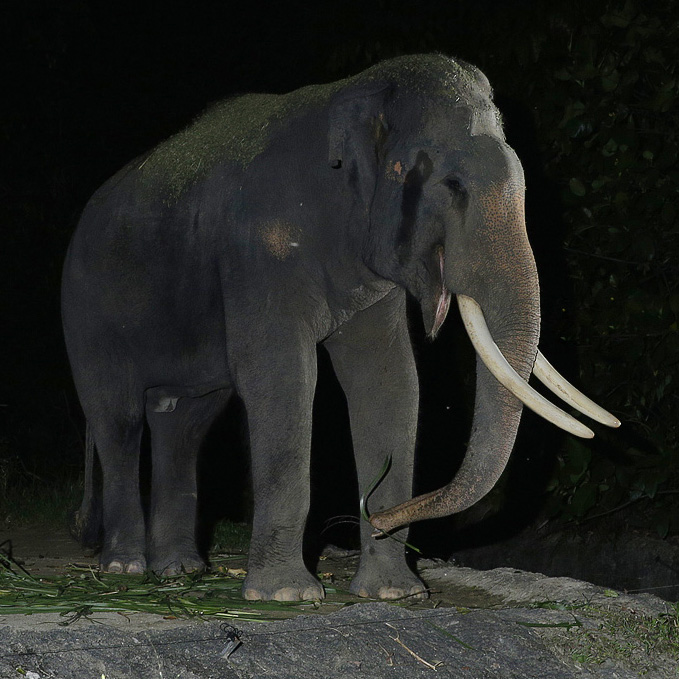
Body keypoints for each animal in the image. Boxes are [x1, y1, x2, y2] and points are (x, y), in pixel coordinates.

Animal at [62, 53, 620, 602]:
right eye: (453, 187)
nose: (376, 516)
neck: (351, 92)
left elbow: (390, 379)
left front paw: (394, 593)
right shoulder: (259, 254)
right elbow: (281, 377)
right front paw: (288, 595)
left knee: (183, 423)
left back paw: (179, 571)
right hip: (87, 315)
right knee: (119, 418)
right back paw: (126, 566)